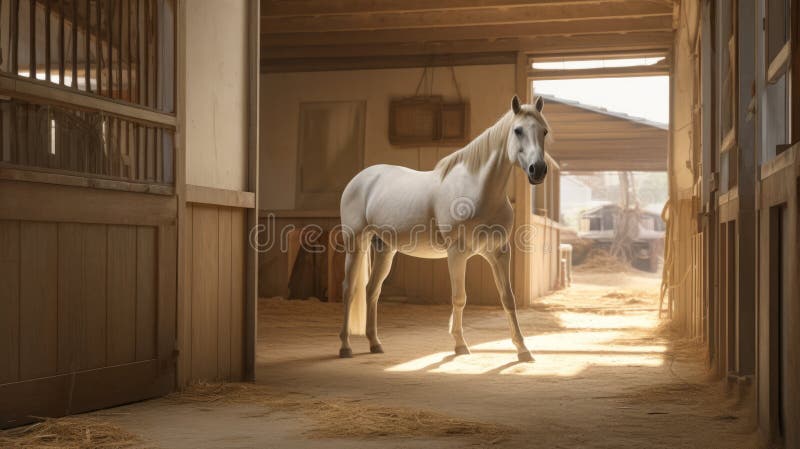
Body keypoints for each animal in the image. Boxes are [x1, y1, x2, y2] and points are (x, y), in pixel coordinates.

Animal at [338, 95, 551, 362]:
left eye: (544, 131)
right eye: (518, 130)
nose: (538, 170)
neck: (478, 190)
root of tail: (359, 179)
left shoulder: (499, 253)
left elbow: (508, 299)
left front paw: (523, 349)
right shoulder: (457, 254)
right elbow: (459, 298)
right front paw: (460, 345)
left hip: (385, 250)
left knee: (371, 291)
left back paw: (375, 343)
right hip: (355, 243)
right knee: (349, 289)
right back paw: (345, 346)